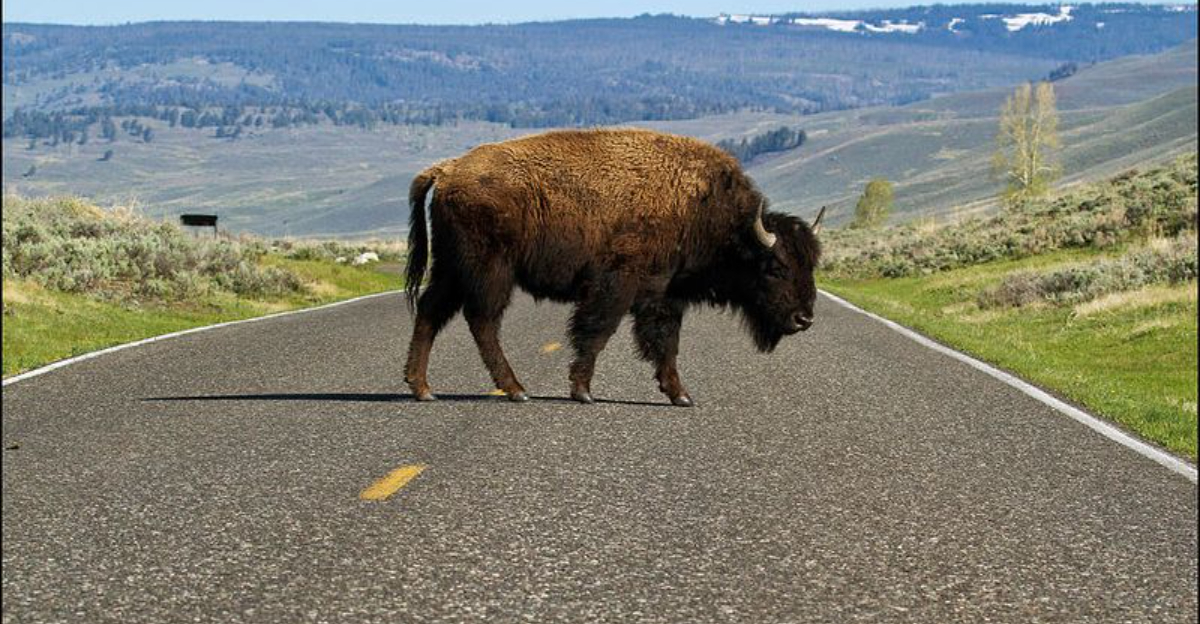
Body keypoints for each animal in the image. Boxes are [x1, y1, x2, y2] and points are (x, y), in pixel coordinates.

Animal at [404, 128, 823, 406]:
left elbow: (666, 343)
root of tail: (448, 170)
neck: (705, 208)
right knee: (482, 320)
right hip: (490, 270)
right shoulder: (616, 285)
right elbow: (598, 332)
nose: (804, 319)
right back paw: (515, 390)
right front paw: (582, 391)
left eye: (811, 265)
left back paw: (422, 388)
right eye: (775, 268)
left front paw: (680, 395)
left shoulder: (664, 295)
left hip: (451, 267)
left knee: (431, 311)